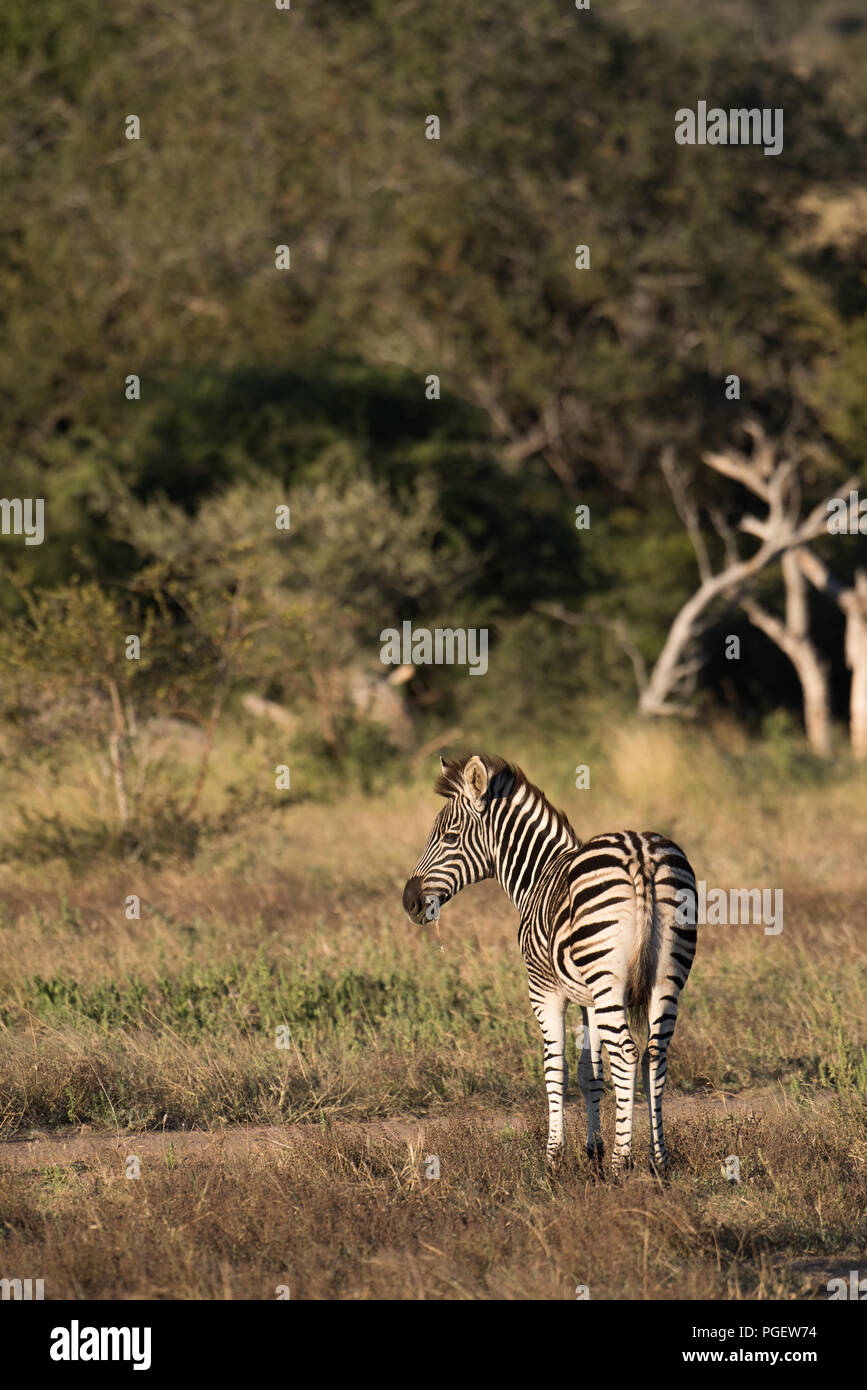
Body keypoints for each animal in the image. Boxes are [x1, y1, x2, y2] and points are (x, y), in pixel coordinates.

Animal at [402, 752, 698, 1176]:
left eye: (450, 838)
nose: (408, 901)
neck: (538, 874)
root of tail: (639, 851)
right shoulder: (587, 999)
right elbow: (590, 1072)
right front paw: (593, 1151)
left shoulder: (544, 990)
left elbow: (555, 1068)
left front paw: (554, 1157)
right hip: (665, 978)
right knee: (654, 1055)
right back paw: (658, 1161)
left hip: (610, 981)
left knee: (627, 1053)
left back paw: (622, 1164)